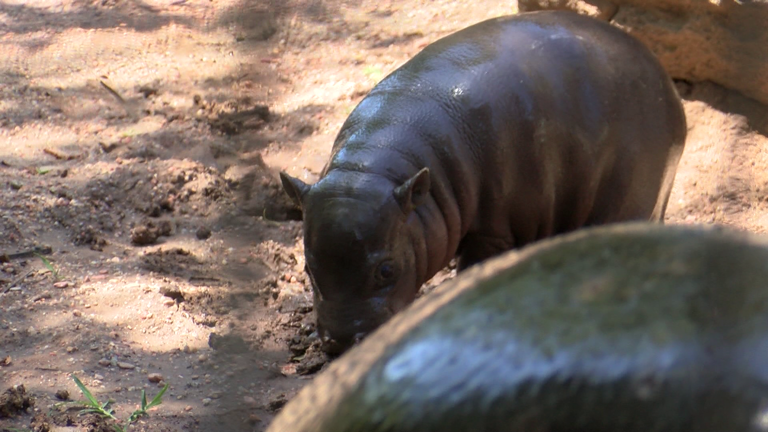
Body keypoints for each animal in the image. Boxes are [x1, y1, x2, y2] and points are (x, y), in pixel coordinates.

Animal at [280, 11, 687, 352]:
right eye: (308, 268)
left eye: (386, 269)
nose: (341, 343)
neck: (375, 164)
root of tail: (667, 85)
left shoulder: (493, 230)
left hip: (628, 199)